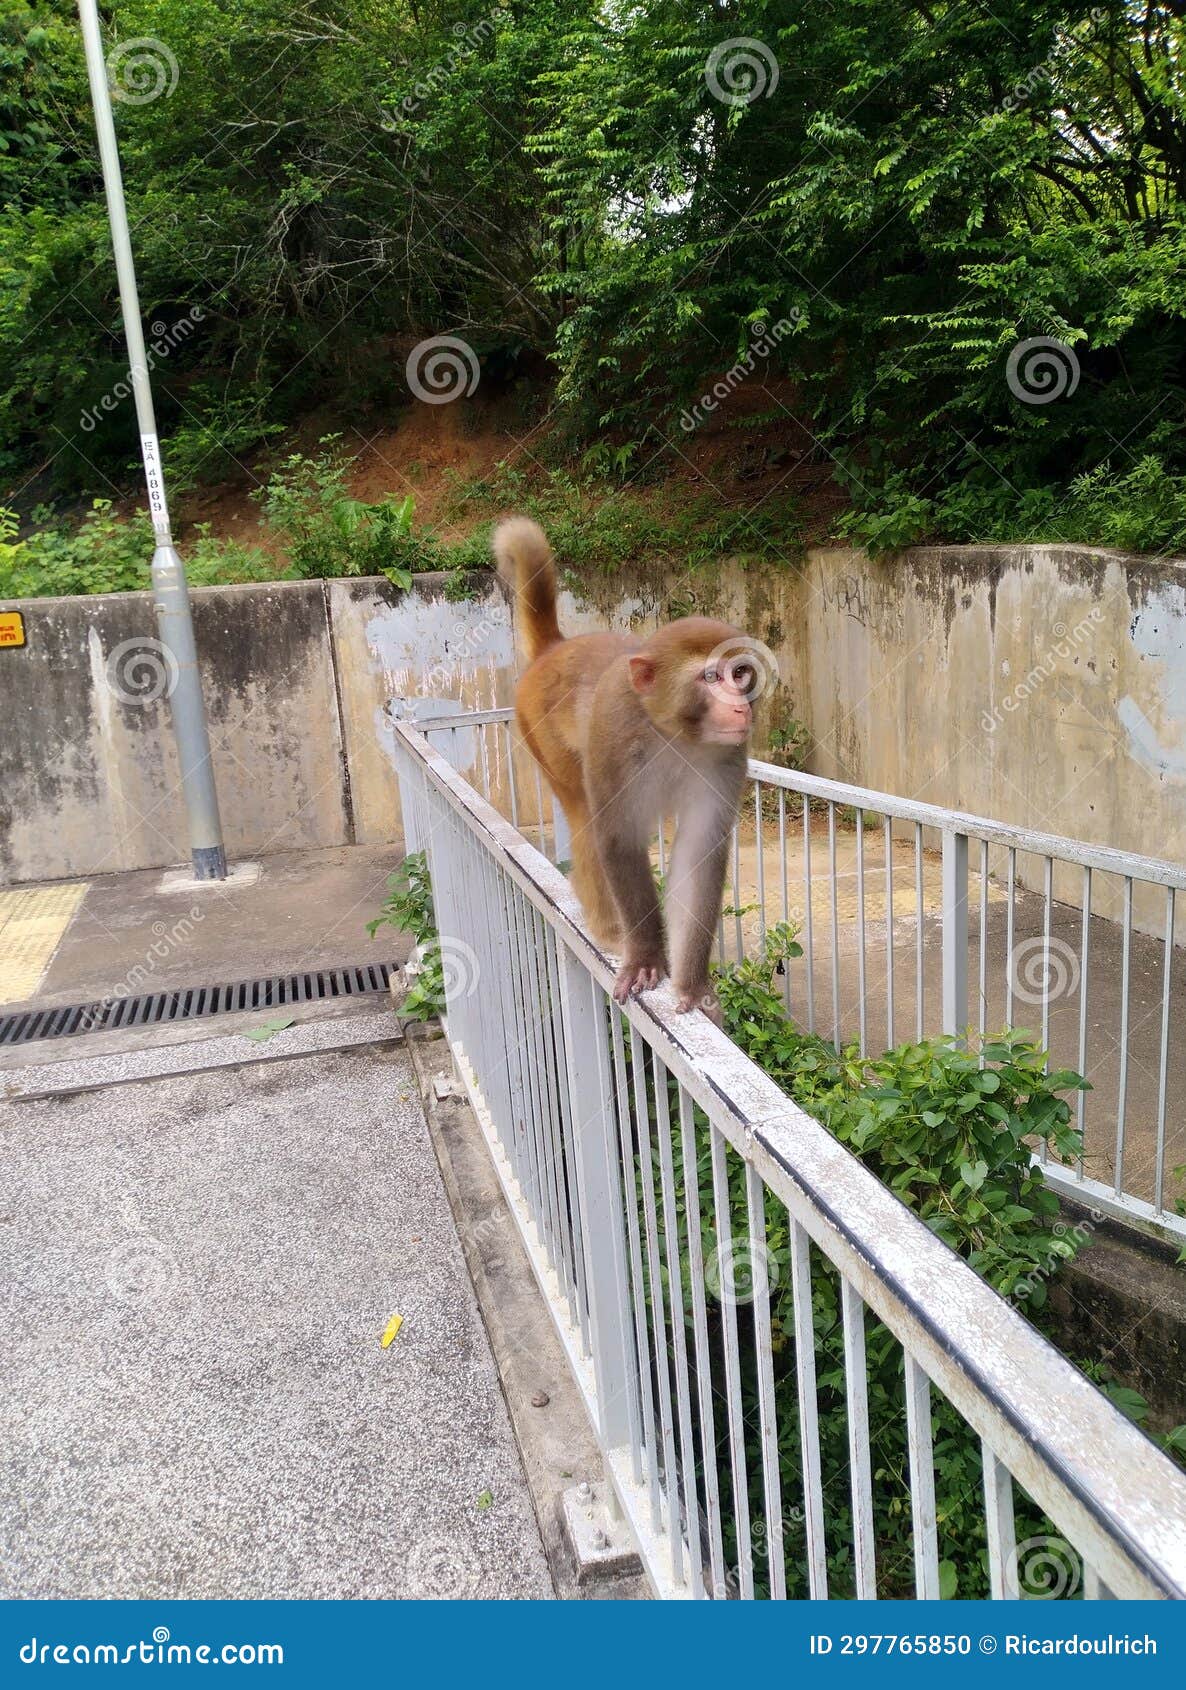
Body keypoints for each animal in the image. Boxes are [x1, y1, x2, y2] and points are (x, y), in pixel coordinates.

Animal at [494, 516, 763, 1025]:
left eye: (739, 673)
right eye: (710, 677)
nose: (739, 706)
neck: (672, 733)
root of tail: (554, 650)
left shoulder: (727, 755)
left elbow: (698, 854)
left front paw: (693, 985)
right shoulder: (616, 735)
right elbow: (618, 837)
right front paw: (647, 958)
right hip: (541, 734)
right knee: (586, 816)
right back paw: (608, 929)